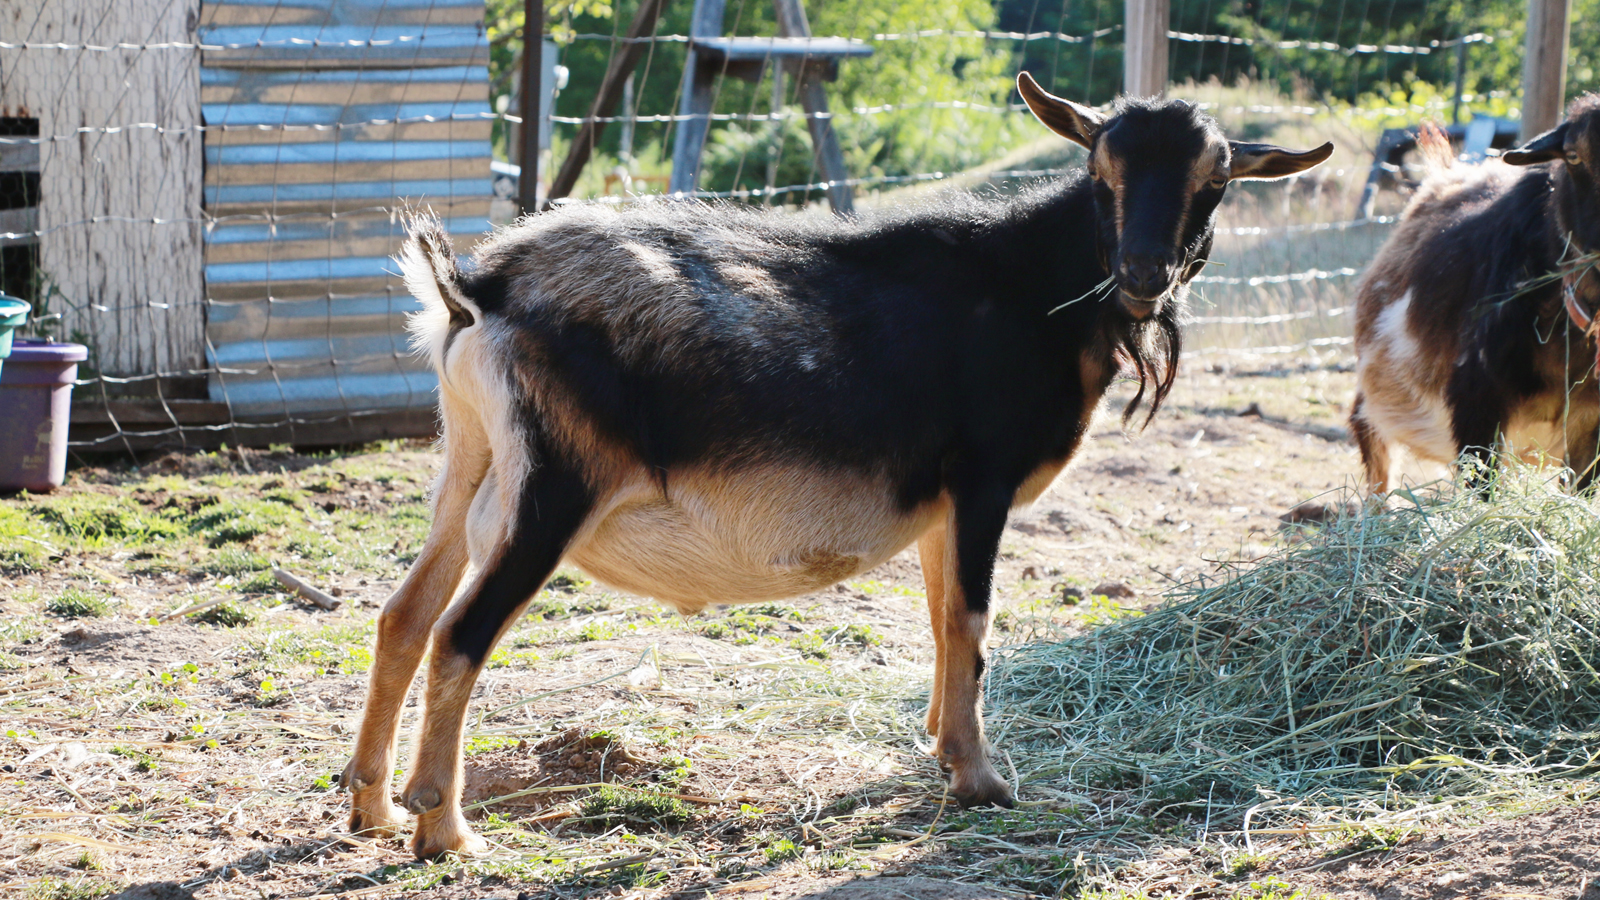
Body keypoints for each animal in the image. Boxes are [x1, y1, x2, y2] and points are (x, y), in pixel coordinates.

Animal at [342, 72, 1333, 857]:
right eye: (1101, 171)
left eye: (1213, 182)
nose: (1143, 273)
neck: (1031, 289)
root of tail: (479, 290)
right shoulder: (982, 479)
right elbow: (973, 623)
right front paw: (981, 781)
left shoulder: (941, 505)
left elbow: (942, 620)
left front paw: (941, 747)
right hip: (553, 487)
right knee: (459, 634)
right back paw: (442, 828)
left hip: (471, 462)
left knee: (404, 613)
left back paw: (371, 808)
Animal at [1351, 97, 1600, 495]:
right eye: (1574, 155)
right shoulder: (1477, 398)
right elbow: (1481, 485)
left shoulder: (1590, 423)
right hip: (1374, 400)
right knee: (1376, 463)